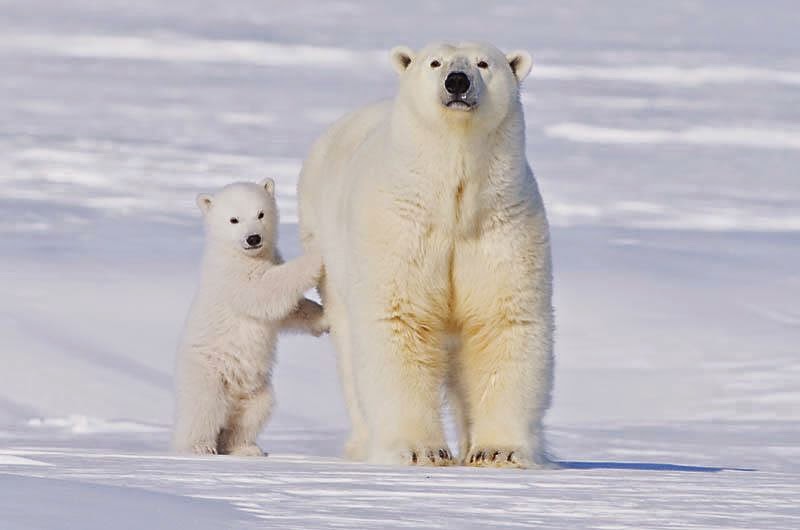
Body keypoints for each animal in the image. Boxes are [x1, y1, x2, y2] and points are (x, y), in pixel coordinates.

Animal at [173, 179, 327, 456]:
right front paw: (316, 257)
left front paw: (323, 318)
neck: (237, 254)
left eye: (261, 214)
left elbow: (287, 311)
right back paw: (199, 447)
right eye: (234, 219)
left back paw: (245, 447)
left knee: (254, 411)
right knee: (203, 407)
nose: (253, 238)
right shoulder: (232, 277)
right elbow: (265, 290)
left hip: (256, 387)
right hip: (207, 371)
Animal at [297, 42, 553, 468]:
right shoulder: (400, 226)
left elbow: (502, 323)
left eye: (484, 63)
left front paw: (497, 451)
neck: (452, 204)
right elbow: (398, 320)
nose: (457, 82)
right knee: (350, 352)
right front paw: (421, 450)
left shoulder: (501, 226)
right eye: (435, 62)